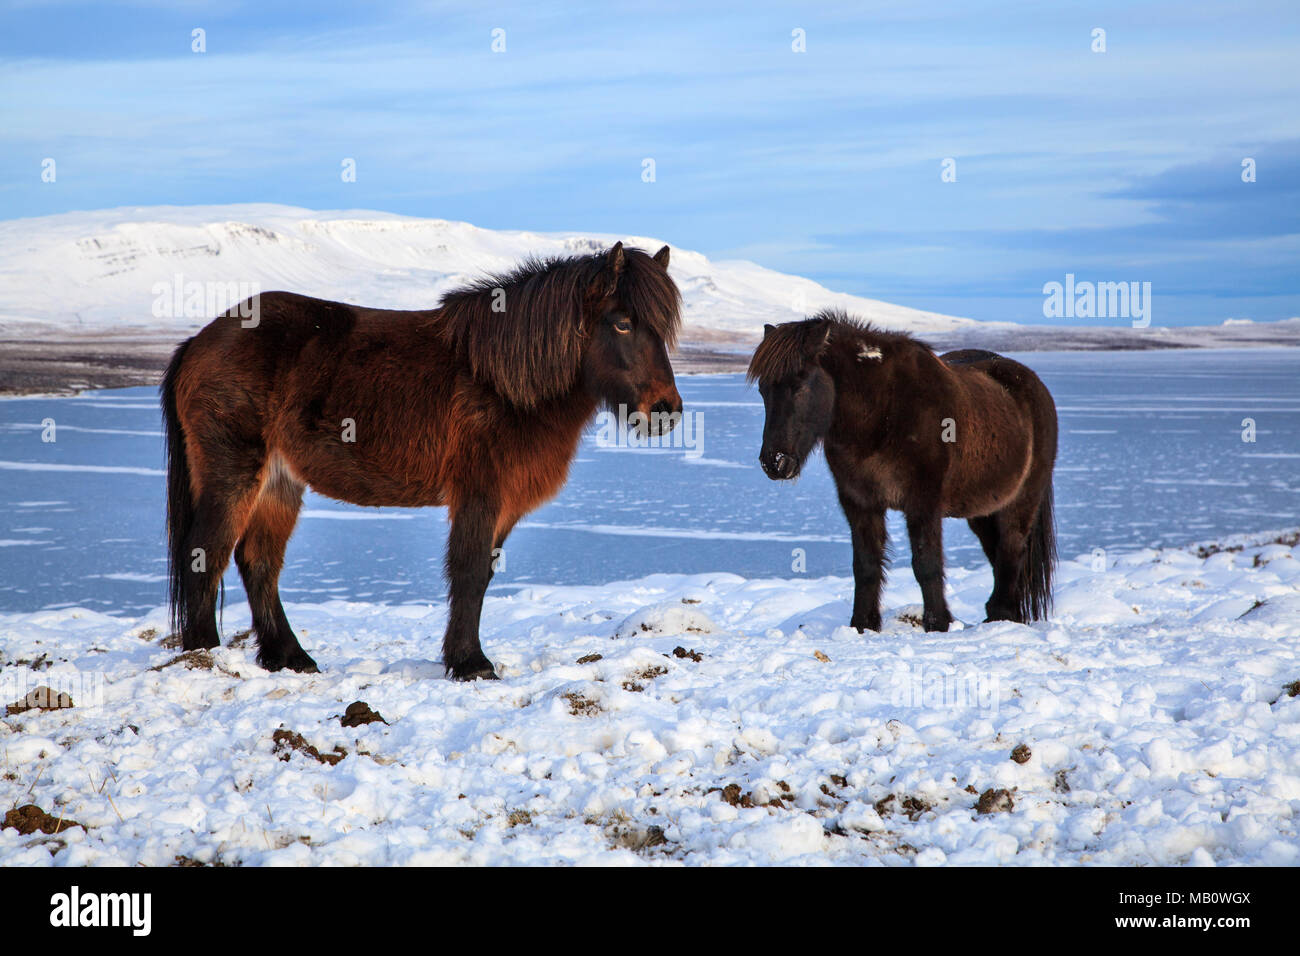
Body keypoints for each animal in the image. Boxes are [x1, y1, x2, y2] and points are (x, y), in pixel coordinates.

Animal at [162, 242, 682, 680]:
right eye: (621, 322)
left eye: (662, 329)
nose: (666, 411)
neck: (504, 381)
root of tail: (198, 341)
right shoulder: (480, 491)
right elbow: (468, 572)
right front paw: (471, 664)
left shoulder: (504, 502)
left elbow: (483, 574)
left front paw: (461, 656)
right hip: (233, 474)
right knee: (206, 554)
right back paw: (206, 655)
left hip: (280, 482)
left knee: (259, 561)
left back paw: (289, 657)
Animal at [748, 309, 1058, 633]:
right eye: (763, 390)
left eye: (800, 385)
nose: (774, 462)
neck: (883, 412)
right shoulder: (859, 502)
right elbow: (866, 565)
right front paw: (863, 625)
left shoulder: (923, 503)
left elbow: (926, 564)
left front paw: (937, 624)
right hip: (983, 511)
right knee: (997, 554)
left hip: (1022, 501)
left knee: (1012, 550)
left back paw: (1002, 616)